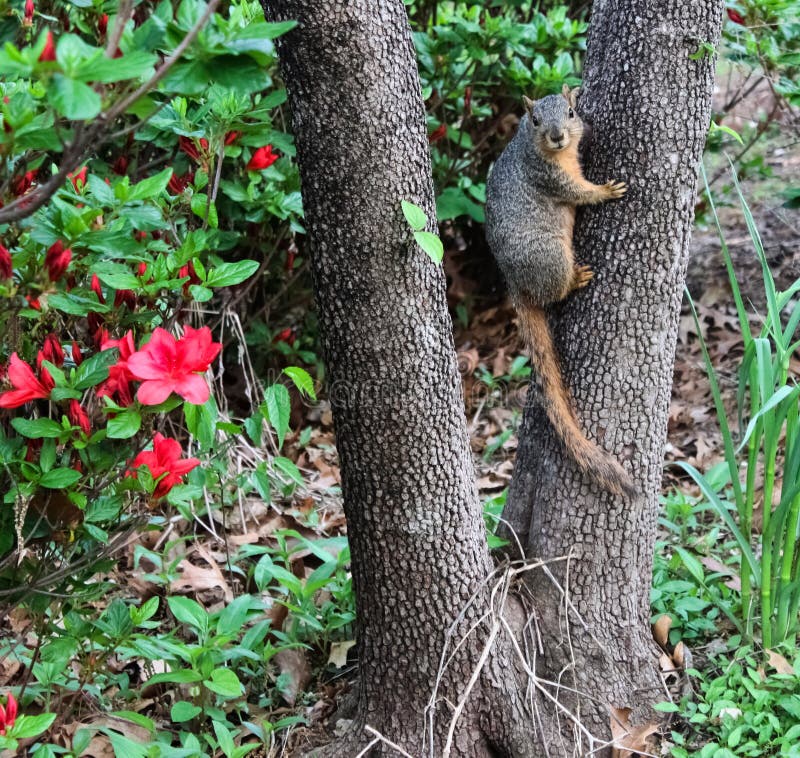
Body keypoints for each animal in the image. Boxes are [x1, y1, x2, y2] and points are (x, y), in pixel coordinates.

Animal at [485, 84, 636, 499]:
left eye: (571, 112)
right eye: (535, 119)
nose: (557, 136)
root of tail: (513, 279)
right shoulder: (548, 177)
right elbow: (577, 191)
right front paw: (605, 190)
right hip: (550, 256)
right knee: (550, 293)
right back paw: (574, 280)